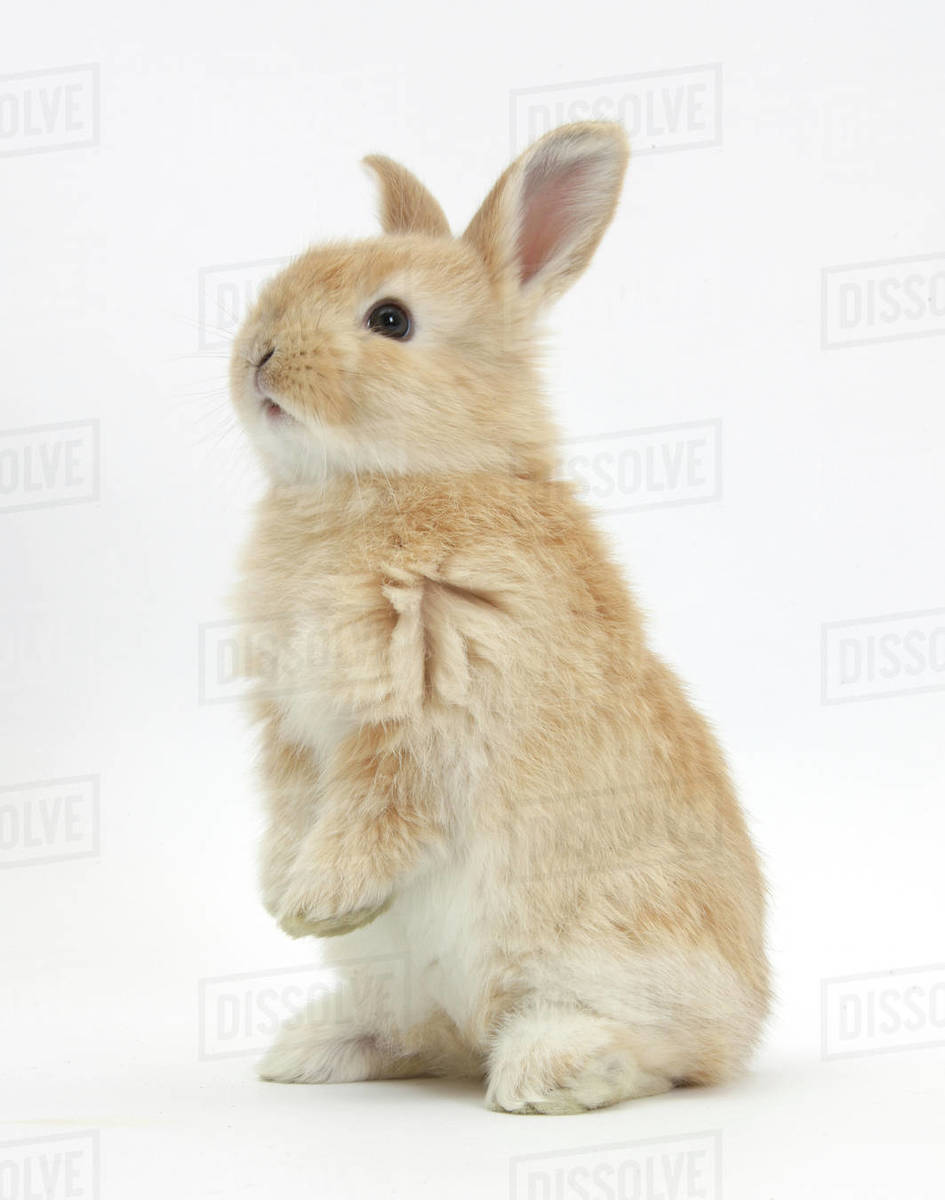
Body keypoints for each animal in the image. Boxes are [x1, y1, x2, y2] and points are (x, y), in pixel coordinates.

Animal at [229, 121, 770, 1114]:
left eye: (391, 320)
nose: (258, 354)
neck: (400, 478)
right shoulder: (288, 725)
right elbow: (293, 811)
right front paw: (282, 899)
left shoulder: (423, 711)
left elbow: (374, 812)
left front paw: (317, 901)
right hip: (406, 983)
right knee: (423, 1034)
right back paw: (309, 1049)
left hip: (616, 952)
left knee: (667, 1055)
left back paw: (551, 1069)